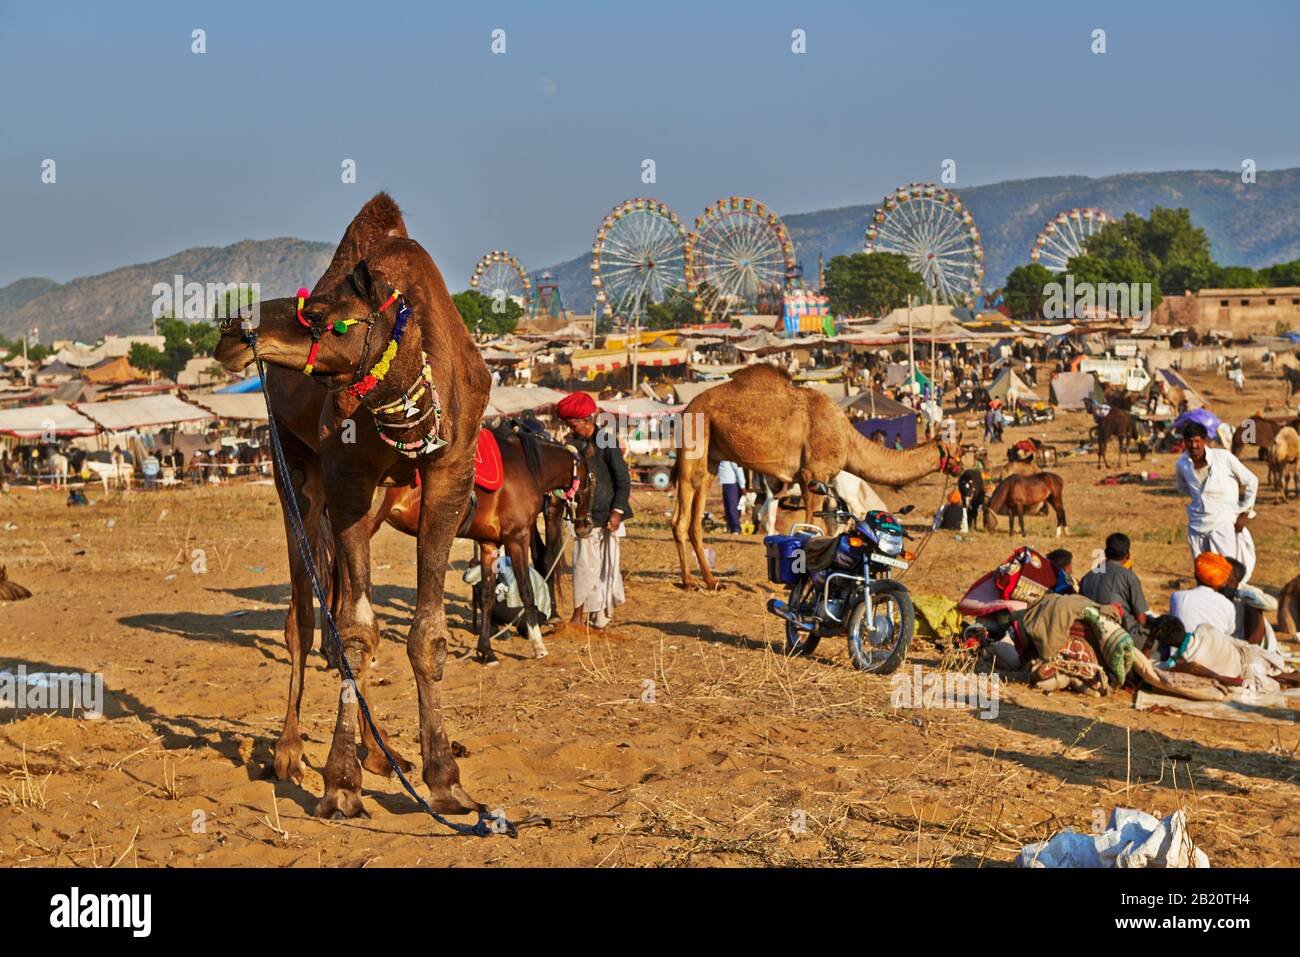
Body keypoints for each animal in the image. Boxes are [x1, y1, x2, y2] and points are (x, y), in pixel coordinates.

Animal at [214, 193, 493, 820]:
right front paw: (339, 784)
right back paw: (290, 753)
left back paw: (381, 752)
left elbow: (424, 632)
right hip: (292, 467)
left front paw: (446, 781)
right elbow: (355, 634)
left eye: (317, 314)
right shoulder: (345, 477)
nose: (230, 331)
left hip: (380, 496)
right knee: (303, 616)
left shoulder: (450, 472)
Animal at [671, 364, 963, 589]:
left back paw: (703, 580)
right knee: (685, 512)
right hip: (696, 439)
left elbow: (820, 525)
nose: (959, 469)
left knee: (688, 512)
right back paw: (696, 581)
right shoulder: (815, 473)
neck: (848, 439)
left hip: (712, 456)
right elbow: (812, 526)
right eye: (957, 450)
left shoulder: (807, 479)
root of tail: (686, 410)